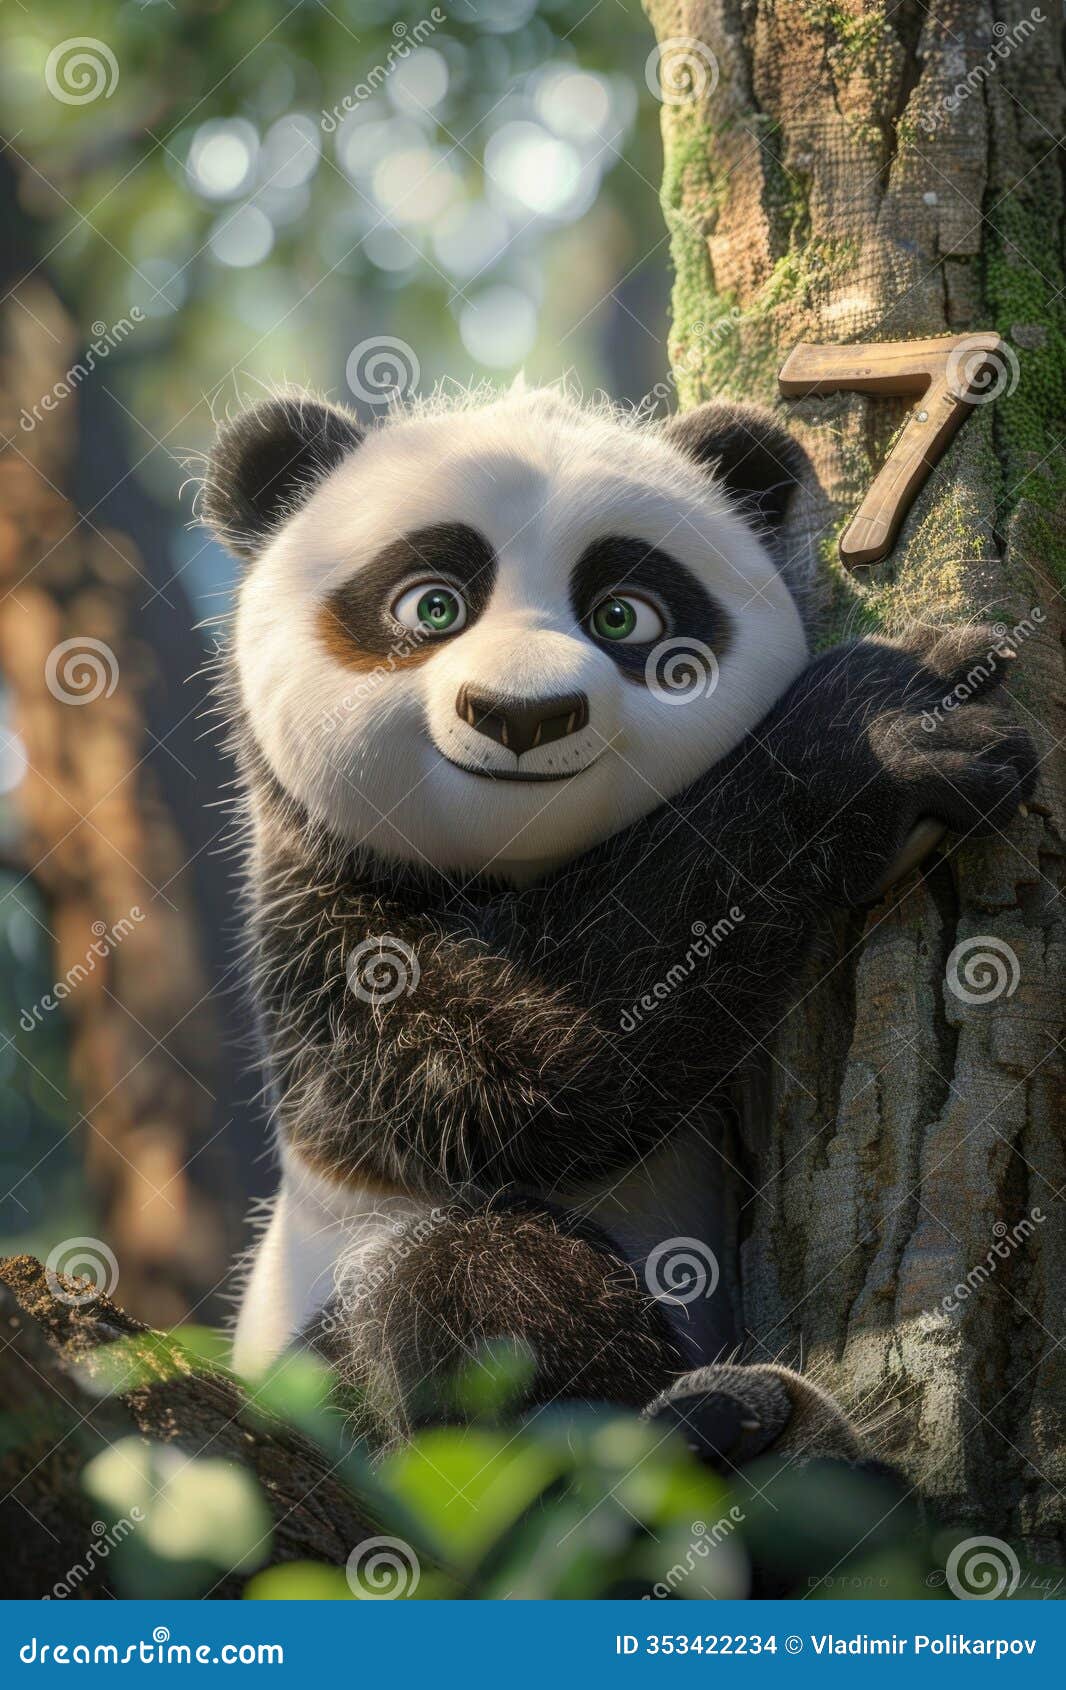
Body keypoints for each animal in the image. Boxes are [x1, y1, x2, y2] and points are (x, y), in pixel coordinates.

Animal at [205, 381, 1035, 1469]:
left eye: (621, 616)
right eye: (431, 605)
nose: (523, 715)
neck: (521, 866)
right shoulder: (326, 940)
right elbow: (543, 1067)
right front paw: (886, 723)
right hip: (322, 1375)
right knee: (459, 1288)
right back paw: (695, 1425)